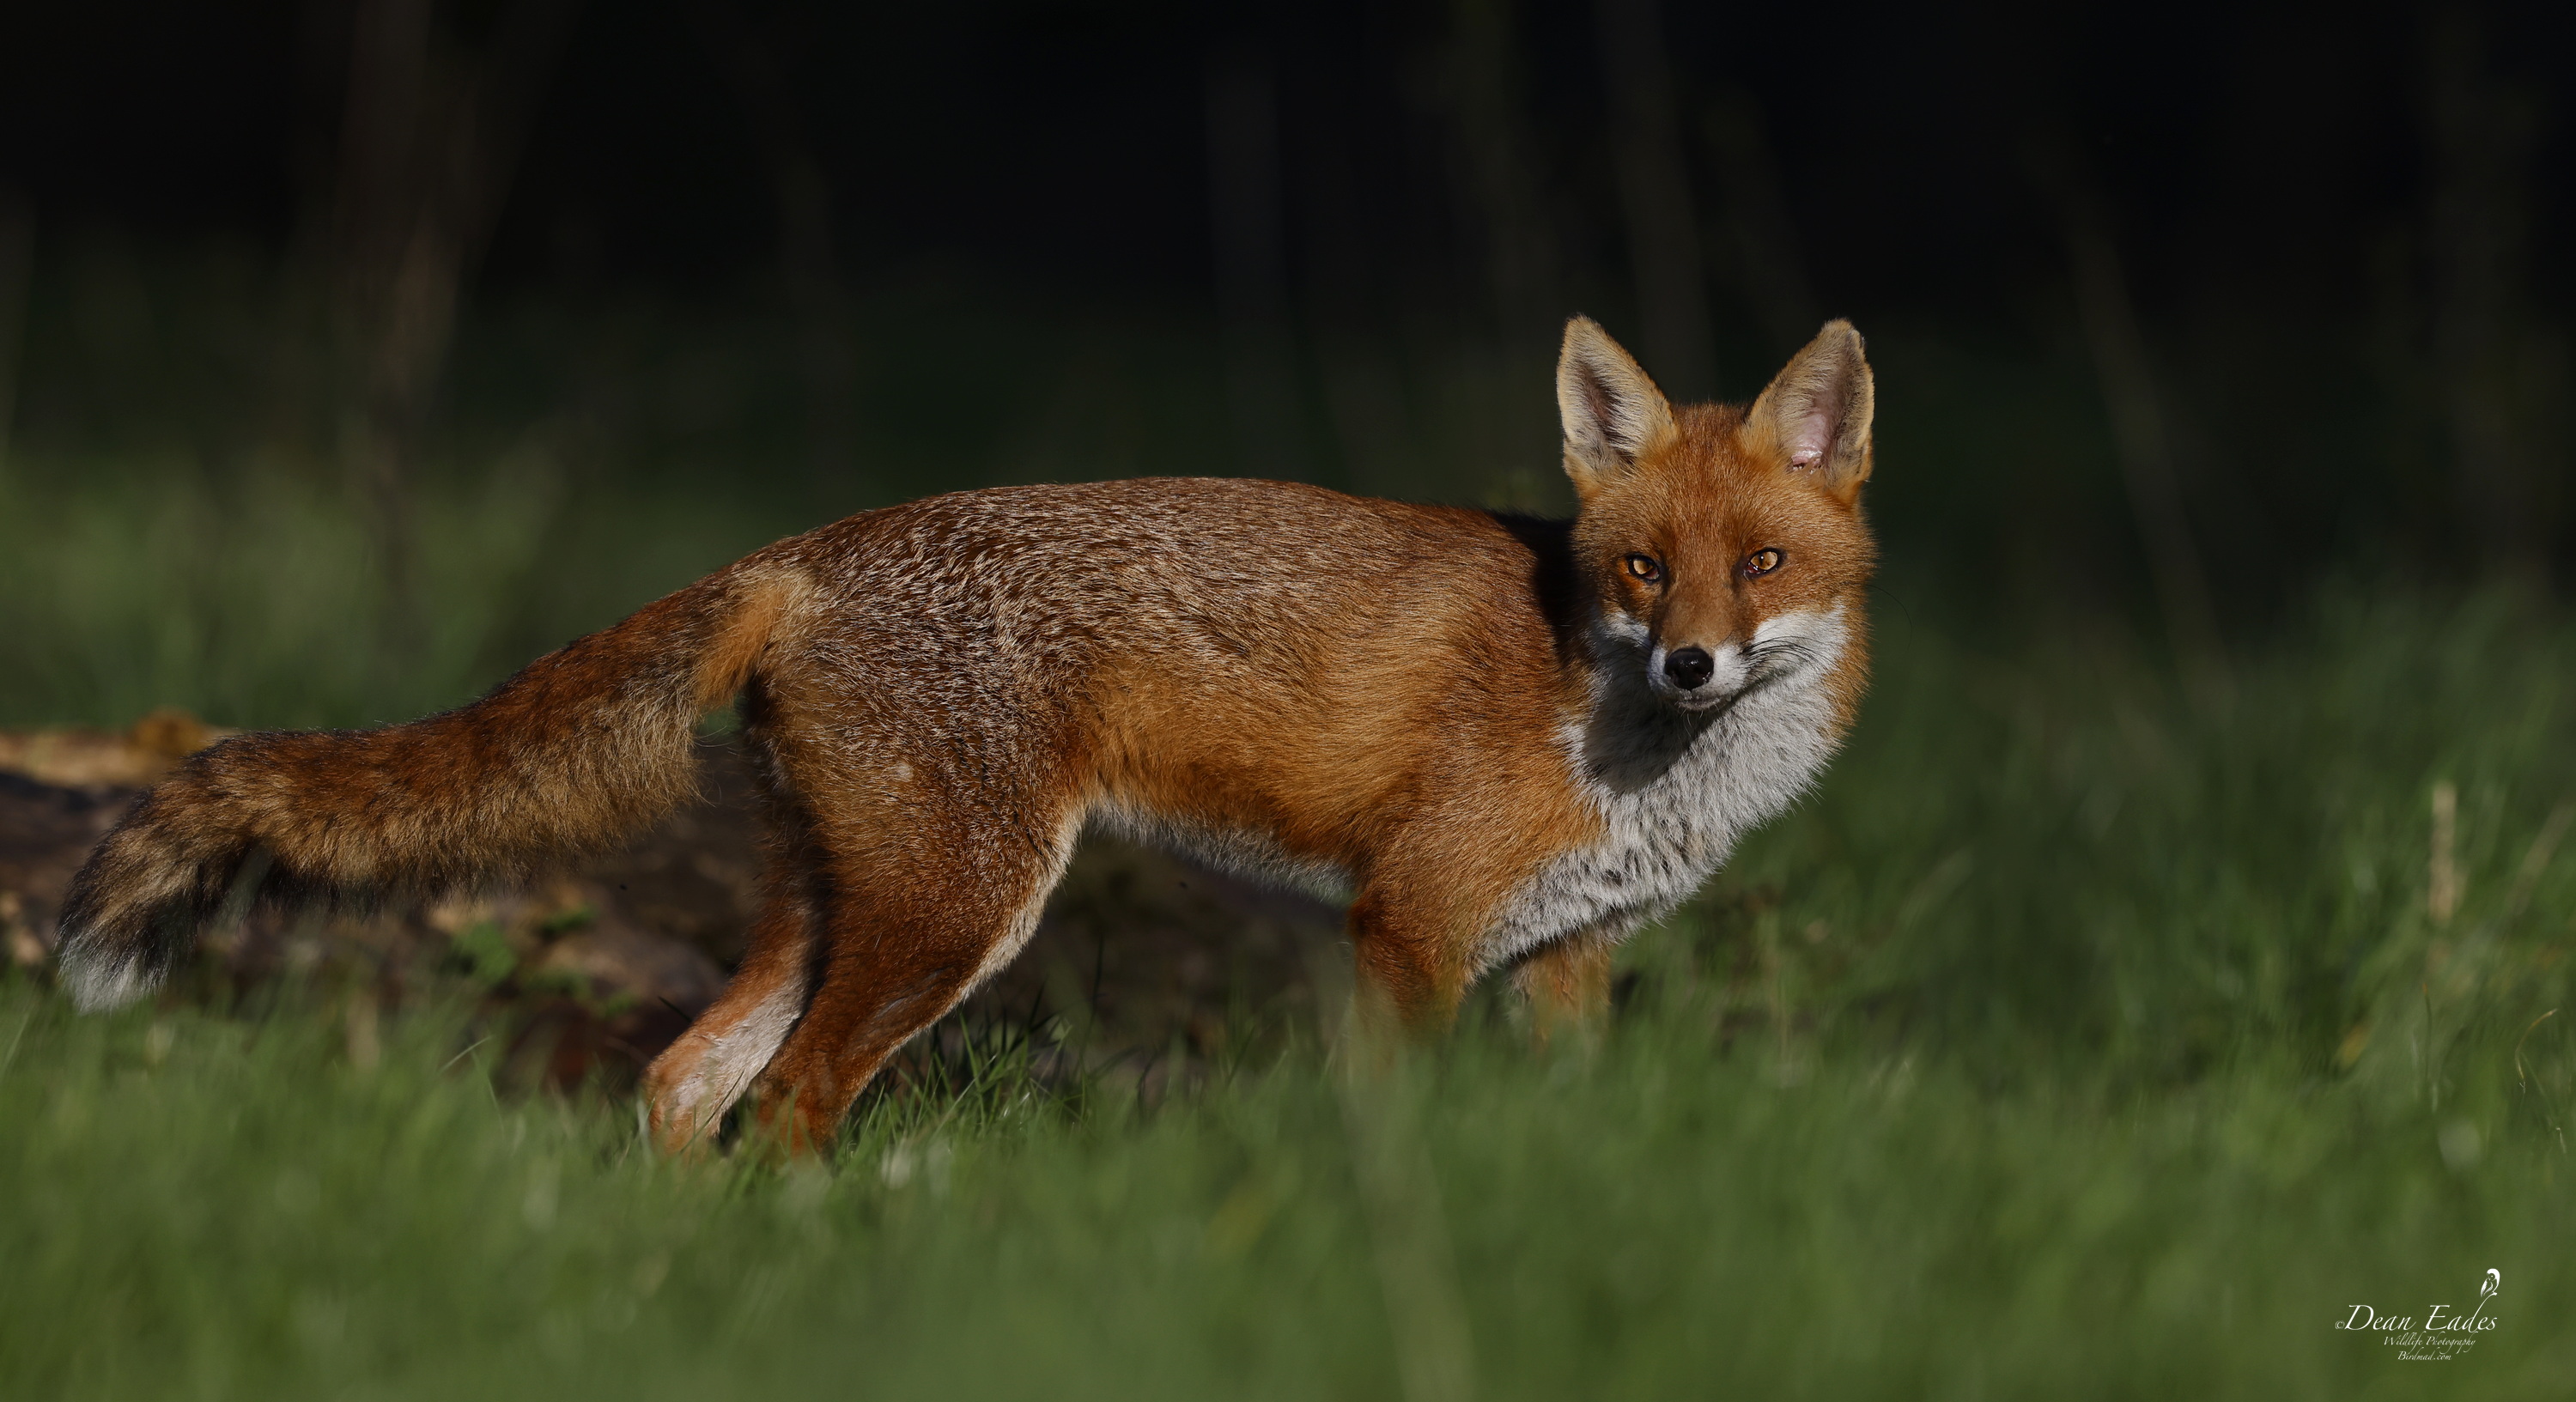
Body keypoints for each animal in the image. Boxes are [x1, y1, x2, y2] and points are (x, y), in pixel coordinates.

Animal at [56, 315, 1876, 1154]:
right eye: (1640, 569)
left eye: (1761, 566)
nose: (1695, 663)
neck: (1626, 736)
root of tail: (807, 543)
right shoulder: (1408, 928)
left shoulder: (1567, 956)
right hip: (959, 911)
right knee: (788, 1105)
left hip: (845, 902)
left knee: (680, 1079)